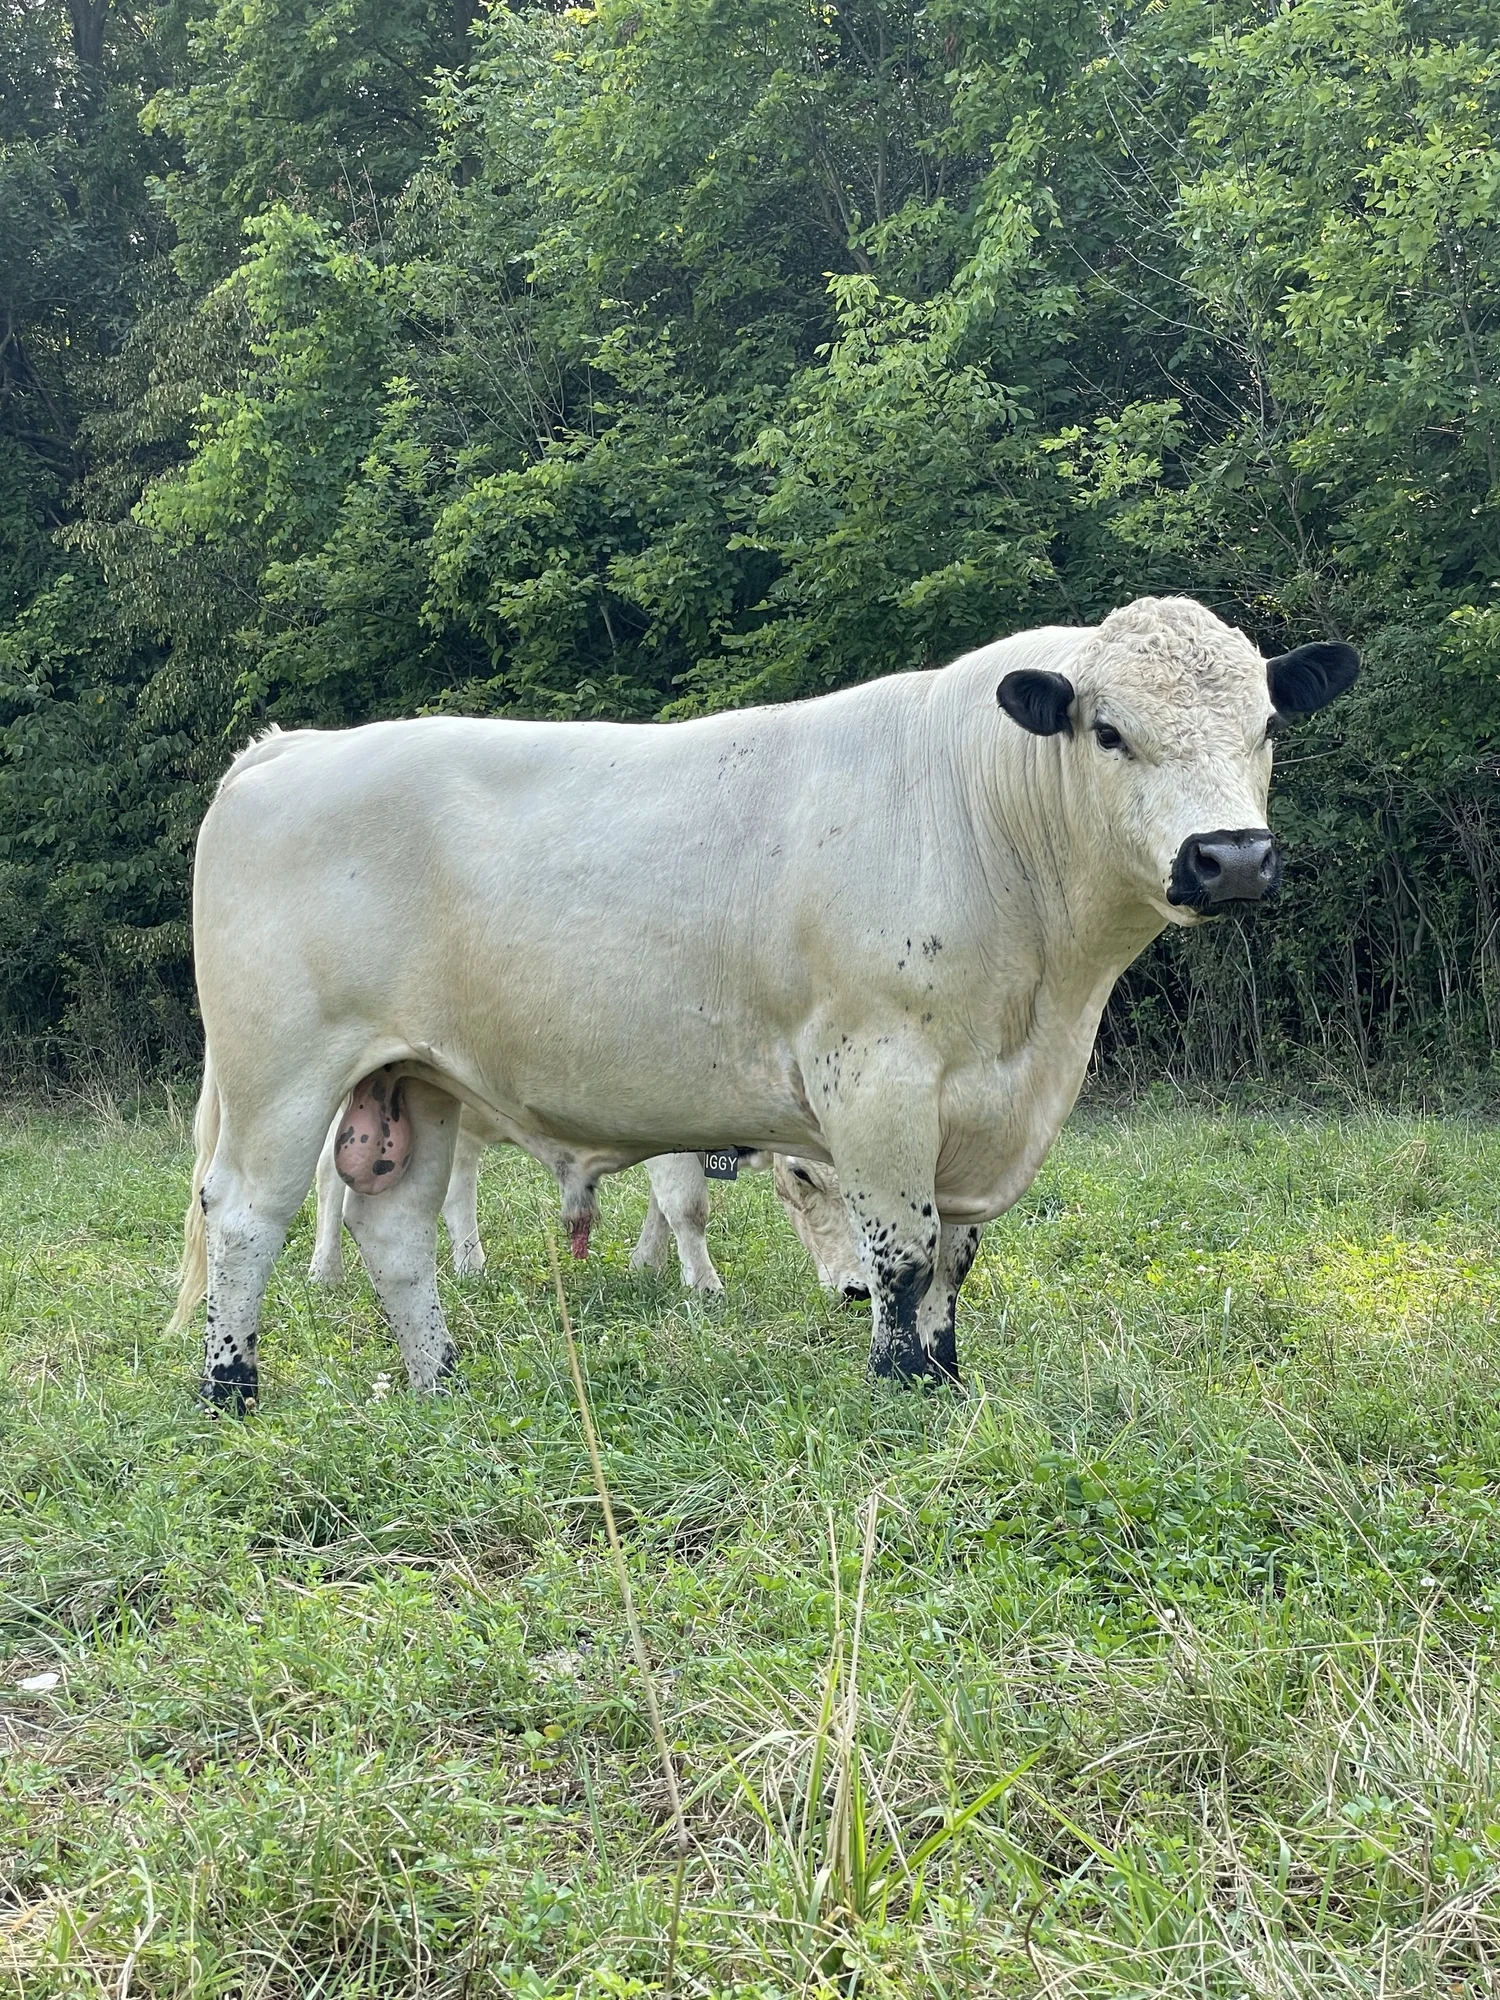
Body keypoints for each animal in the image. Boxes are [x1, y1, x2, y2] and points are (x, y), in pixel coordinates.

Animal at [308, 1113, 869, 1298]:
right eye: (801, 1173)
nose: (859, 1290)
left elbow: (662, 1206)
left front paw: (647, 1264)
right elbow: (687, 1205)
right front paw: (706, 1287)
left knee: (458, 1178)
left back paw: (471, 1265)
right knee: (330, 1175)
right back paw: (325, 1271)